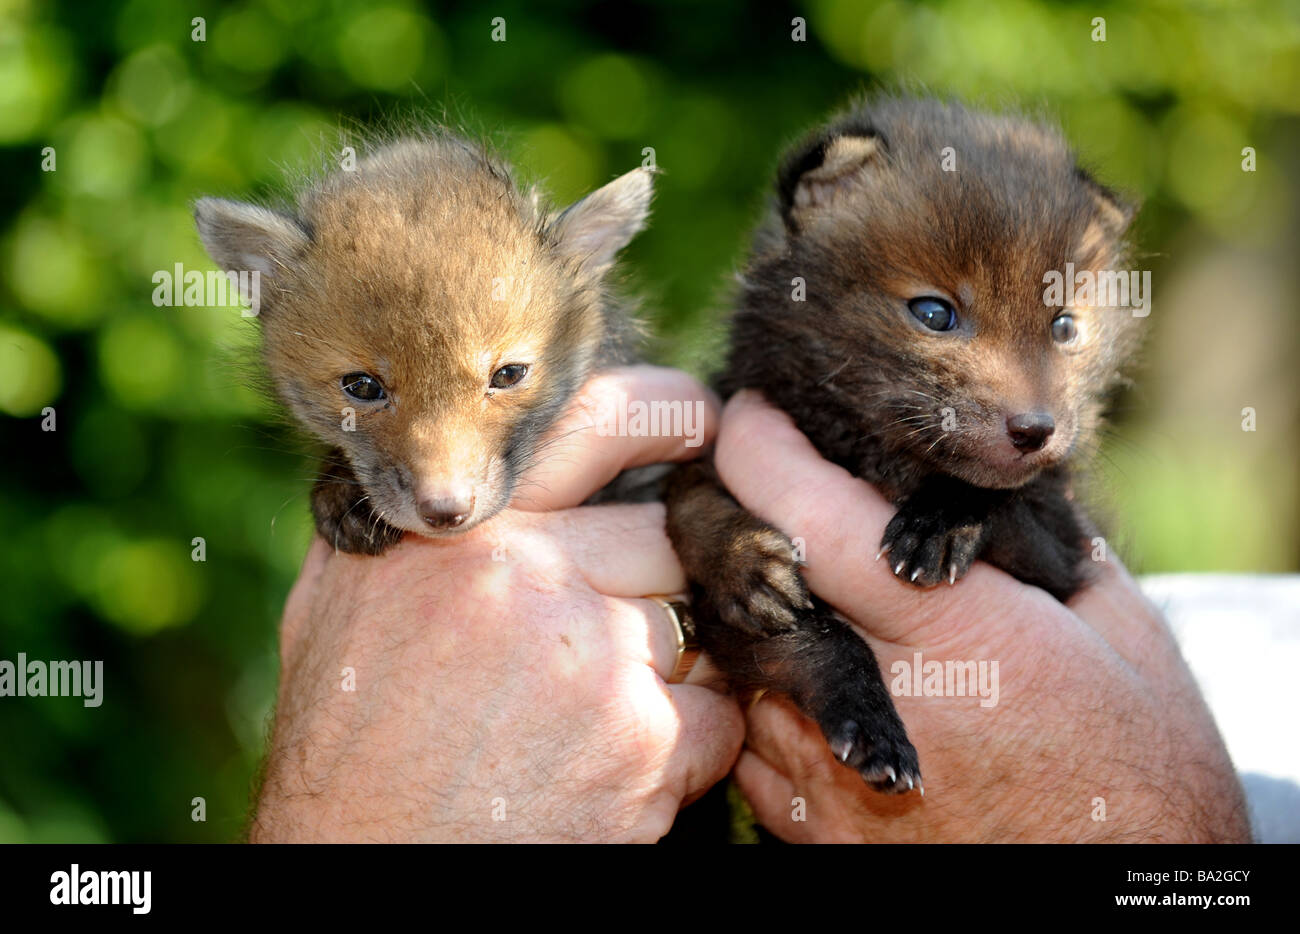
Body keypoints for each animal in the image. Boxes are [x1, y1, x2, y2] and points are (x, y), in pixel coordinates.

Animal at [665, 97, 1144, 793]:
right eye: (934, 313)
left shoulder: (1066, 551)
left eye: (1064, 327)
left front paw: (944, 517)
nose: (1035, 429)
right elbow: (702, 507)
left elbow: (1000, 496)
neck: (876, 456)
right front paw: (744, 558)